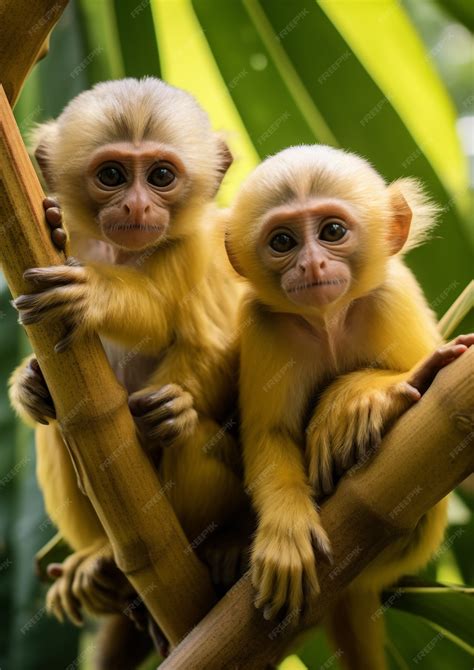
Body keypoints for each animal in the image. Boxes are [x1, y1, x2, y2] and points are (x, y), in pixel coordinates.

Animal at [9, 78, 250, 661]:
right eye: (113, 175)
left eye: (160, 176)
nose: (138, 205)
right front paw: (29, 383)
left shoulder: (197, 245)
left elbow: (199, 338)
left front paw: (94, 296)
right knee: (58, 431)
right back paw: (101, 567)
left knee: (193, 433)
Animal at [223, 144, 473, 669]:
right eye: (282, 241)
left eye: (332, 232)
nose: (312, 265)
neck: (329, 322)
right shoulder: (262, 323)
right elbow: (268, 435)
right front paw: (285, 529)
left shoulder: (390, 299)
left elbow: (441, 374)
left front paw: (354, 400)